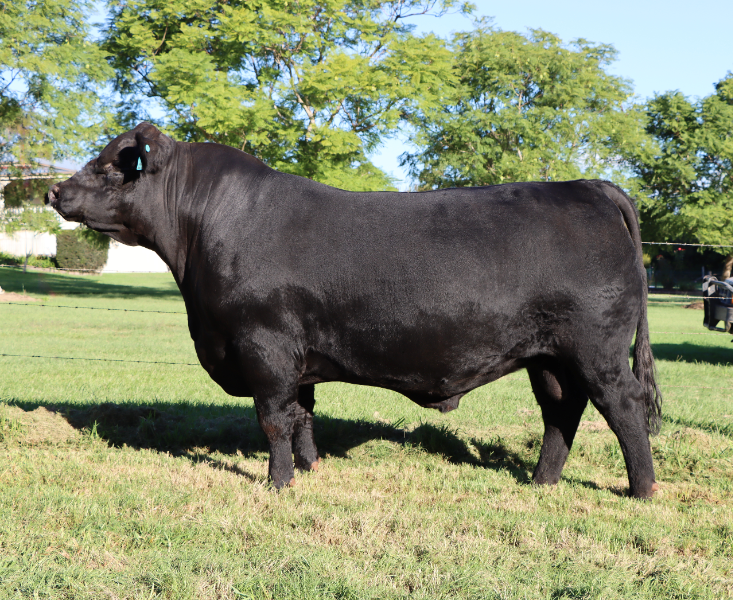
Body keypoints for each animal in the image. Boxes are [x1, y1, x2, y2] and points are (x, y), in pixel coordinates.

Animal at [46, 123, 662, 498]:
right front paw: (310, 470)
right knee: (562, 410)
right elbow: (302, 416)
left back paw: (642, 489)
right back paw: (541, 483)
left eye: (110, 166)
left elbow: (273, 419)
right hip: (549, 355)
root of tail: (589, 185)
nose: (53, 191)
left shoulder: (263, 344)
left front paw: (277, 485)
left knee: (623, 406)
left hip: (597, 347)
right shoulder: (297, 357)